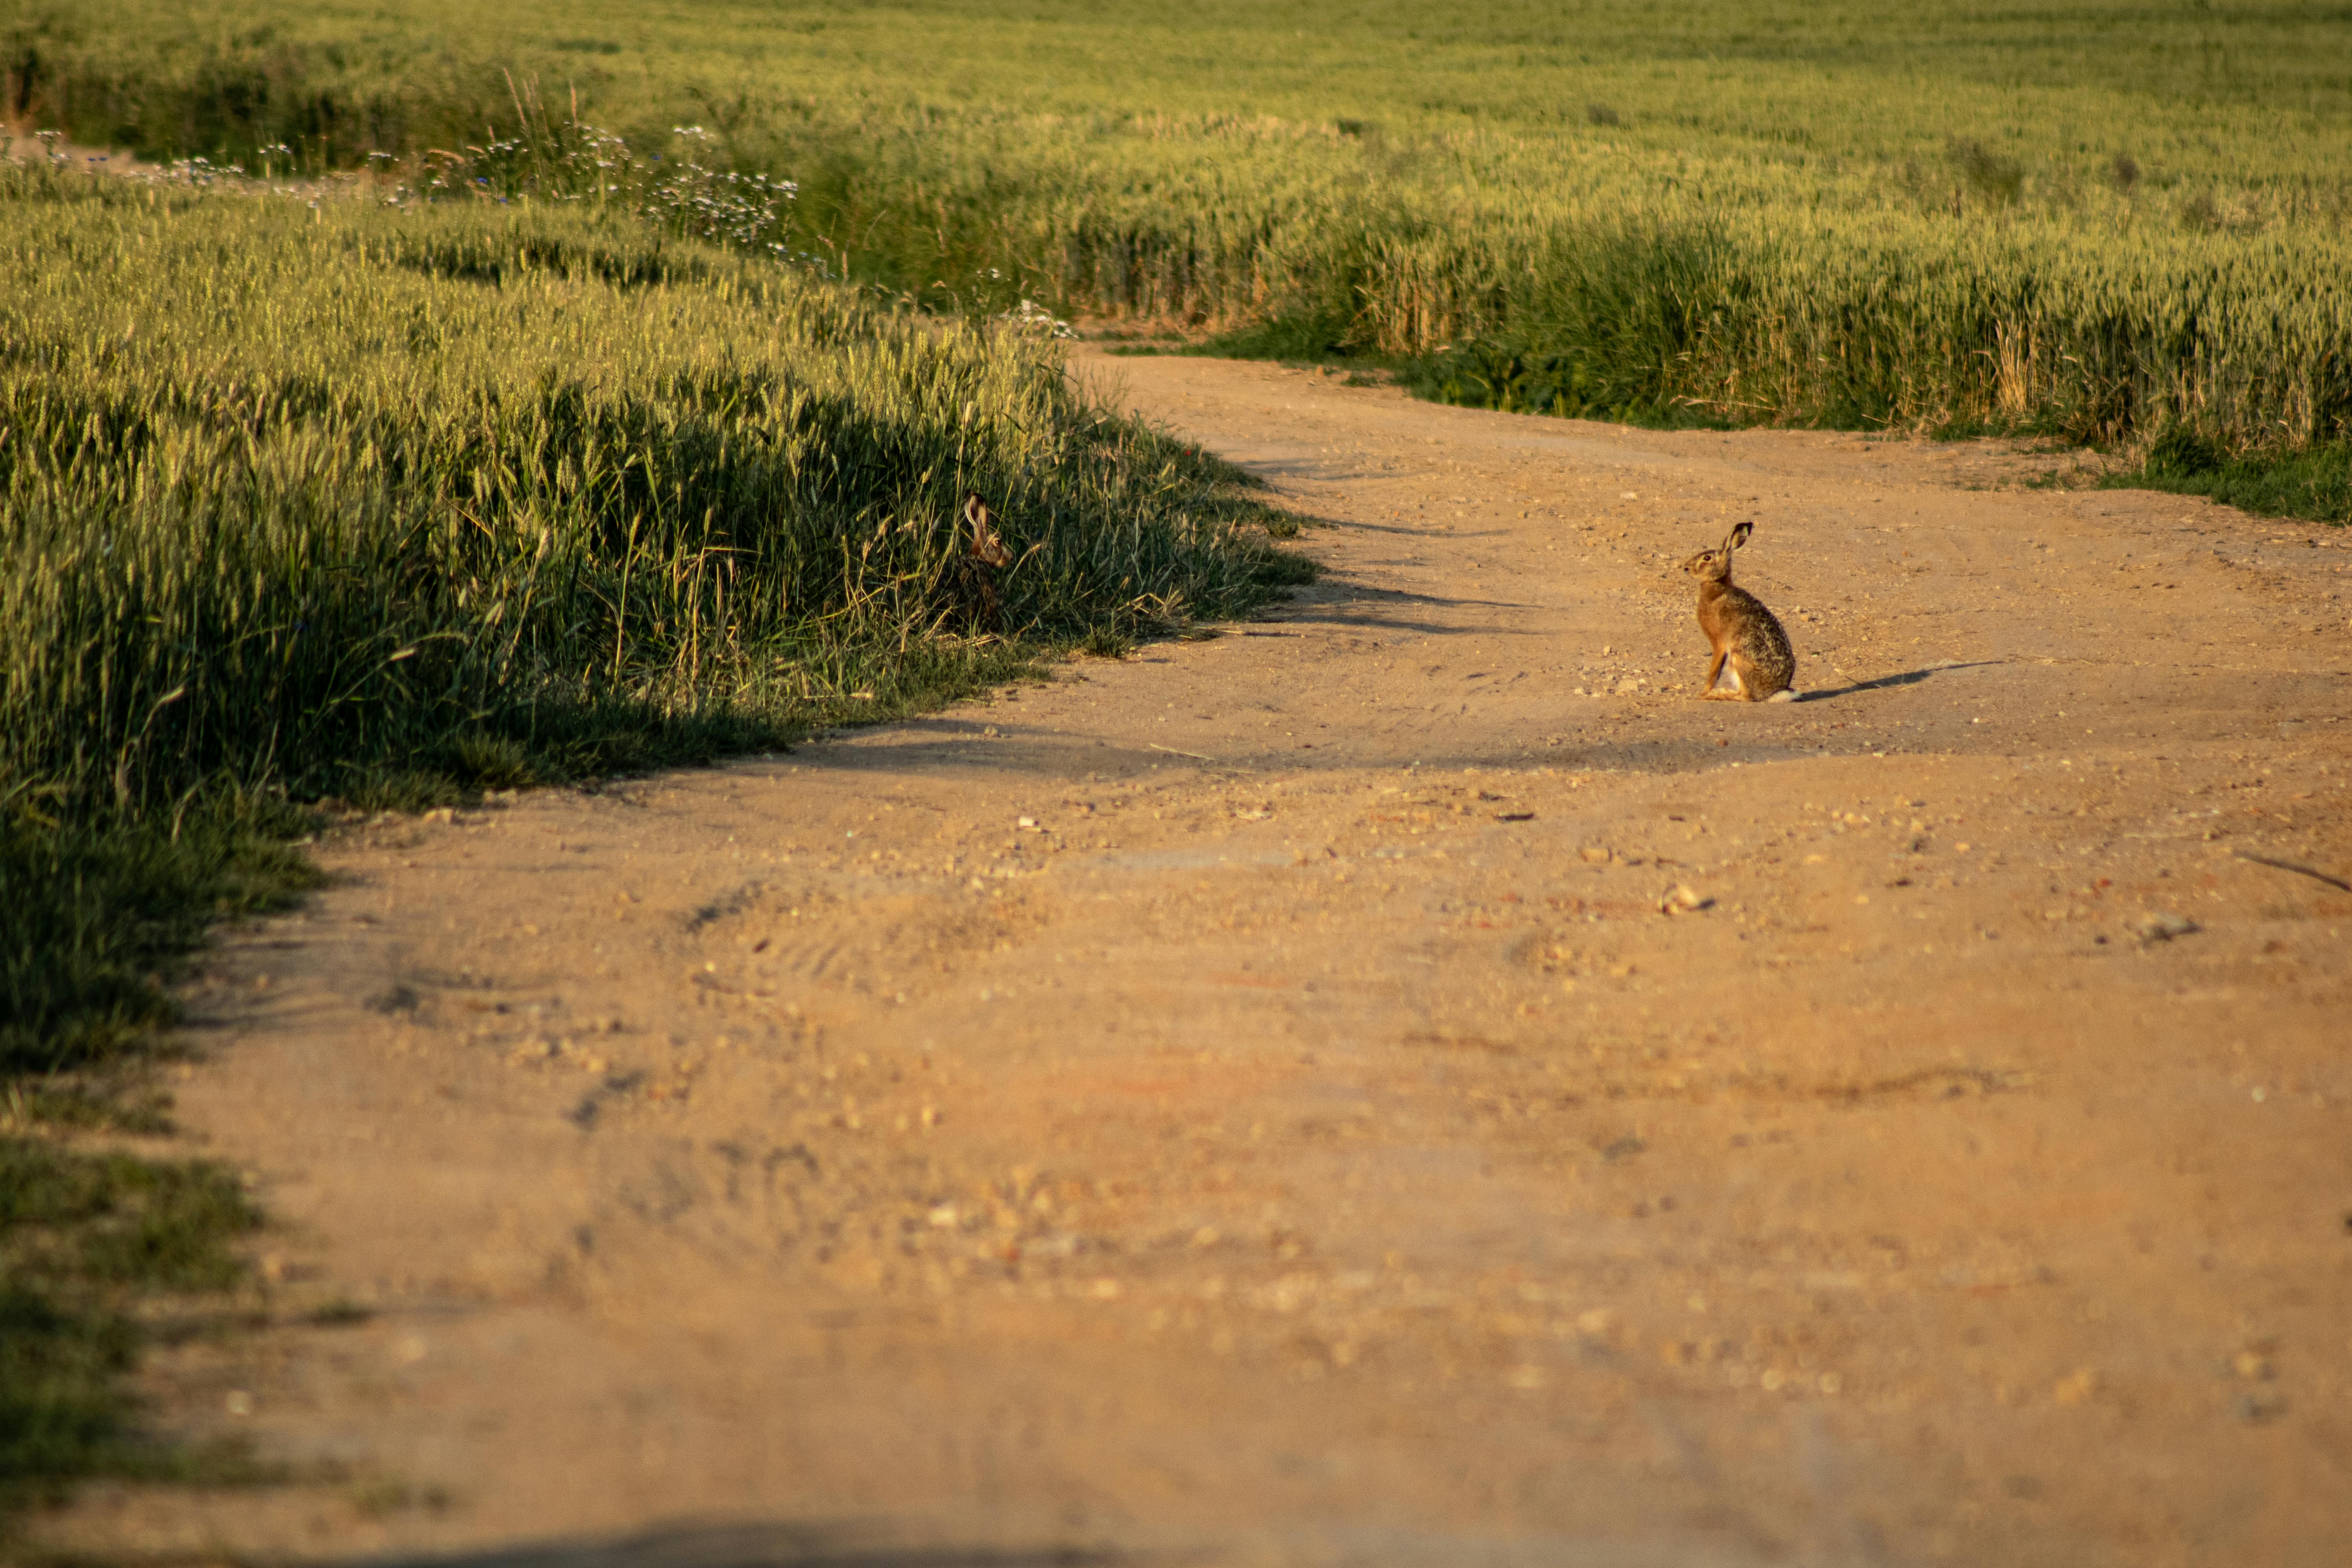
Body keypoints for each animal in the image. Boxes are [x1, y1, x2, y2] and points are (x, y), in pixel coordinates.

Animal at [1679, 521, 1797, 702]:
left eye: (1707, 558)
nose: (1686, 568)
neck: (1718, 586)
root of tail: (1773, 693)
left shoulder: (1719, 642)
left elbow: (1714, 671)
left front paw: (1703, 693)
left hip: (1739, 658)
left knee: (1746, 696)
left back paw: (1719, 694)